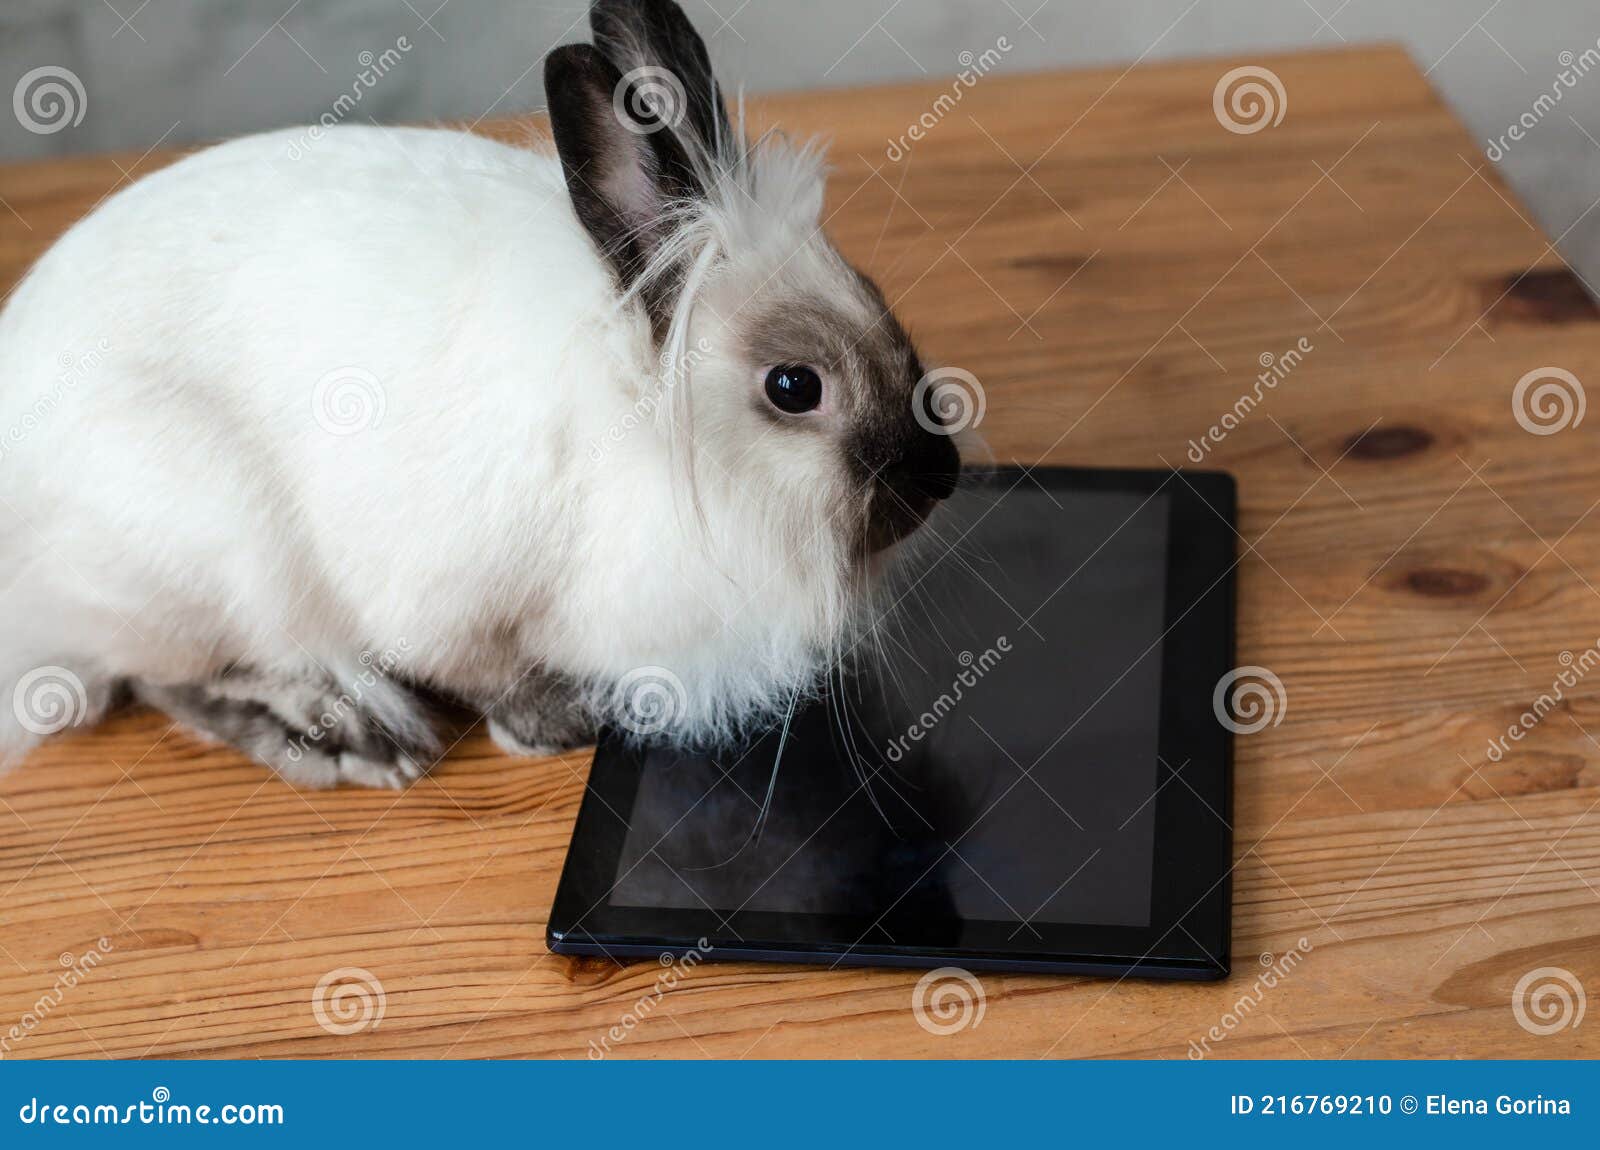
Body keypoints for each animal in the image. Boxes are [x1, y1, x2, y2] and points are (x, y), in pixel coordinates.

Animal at [0, 0, 964, 789]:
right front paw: (556, 723)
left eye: (878, 296)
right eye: (794, 387)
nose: (940, 477)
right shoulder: (438, 601)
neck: (641, 429)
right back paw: (348, 737)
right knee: (172, 675)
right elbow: (475, 667)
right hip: (216, 554)